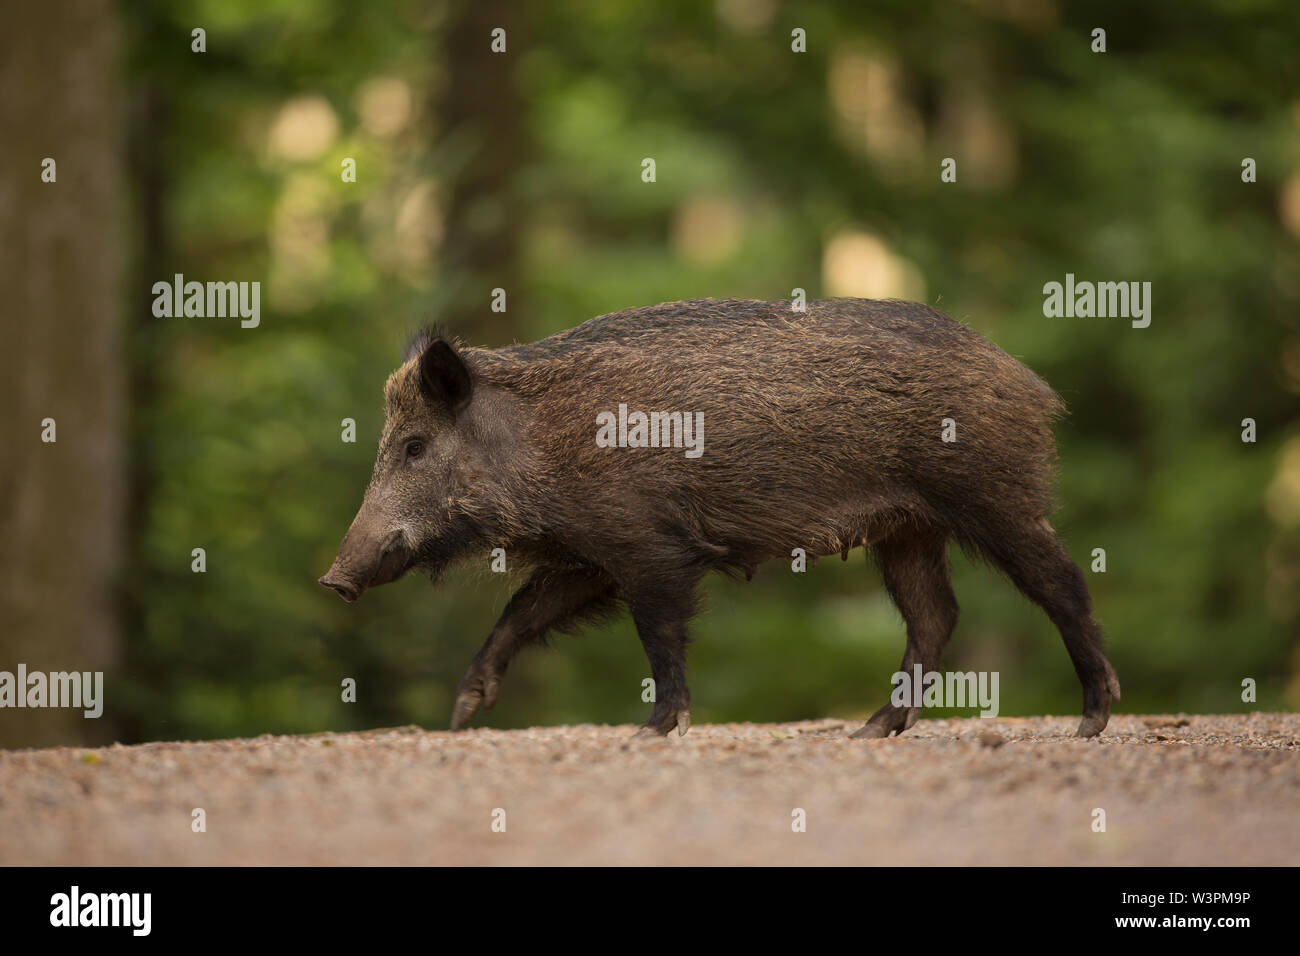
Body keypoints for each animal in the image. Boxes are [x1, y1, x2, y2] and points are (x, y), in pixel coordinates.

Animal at [319, 298, 1121, 739]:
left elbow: (659, 636)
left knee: (1059, 583)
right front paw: (463, 712)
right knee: (935, 613)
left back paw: (1091, 719)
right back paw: (868, 732)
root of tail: (1029, 381)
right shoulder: (593, 557)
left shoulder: (651, 547)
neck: (542, 445)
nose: (332, 580)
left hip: (992, 493)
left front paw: (652, 731)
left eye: (415, 446)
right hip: (907, 528)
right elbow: (522, 611)